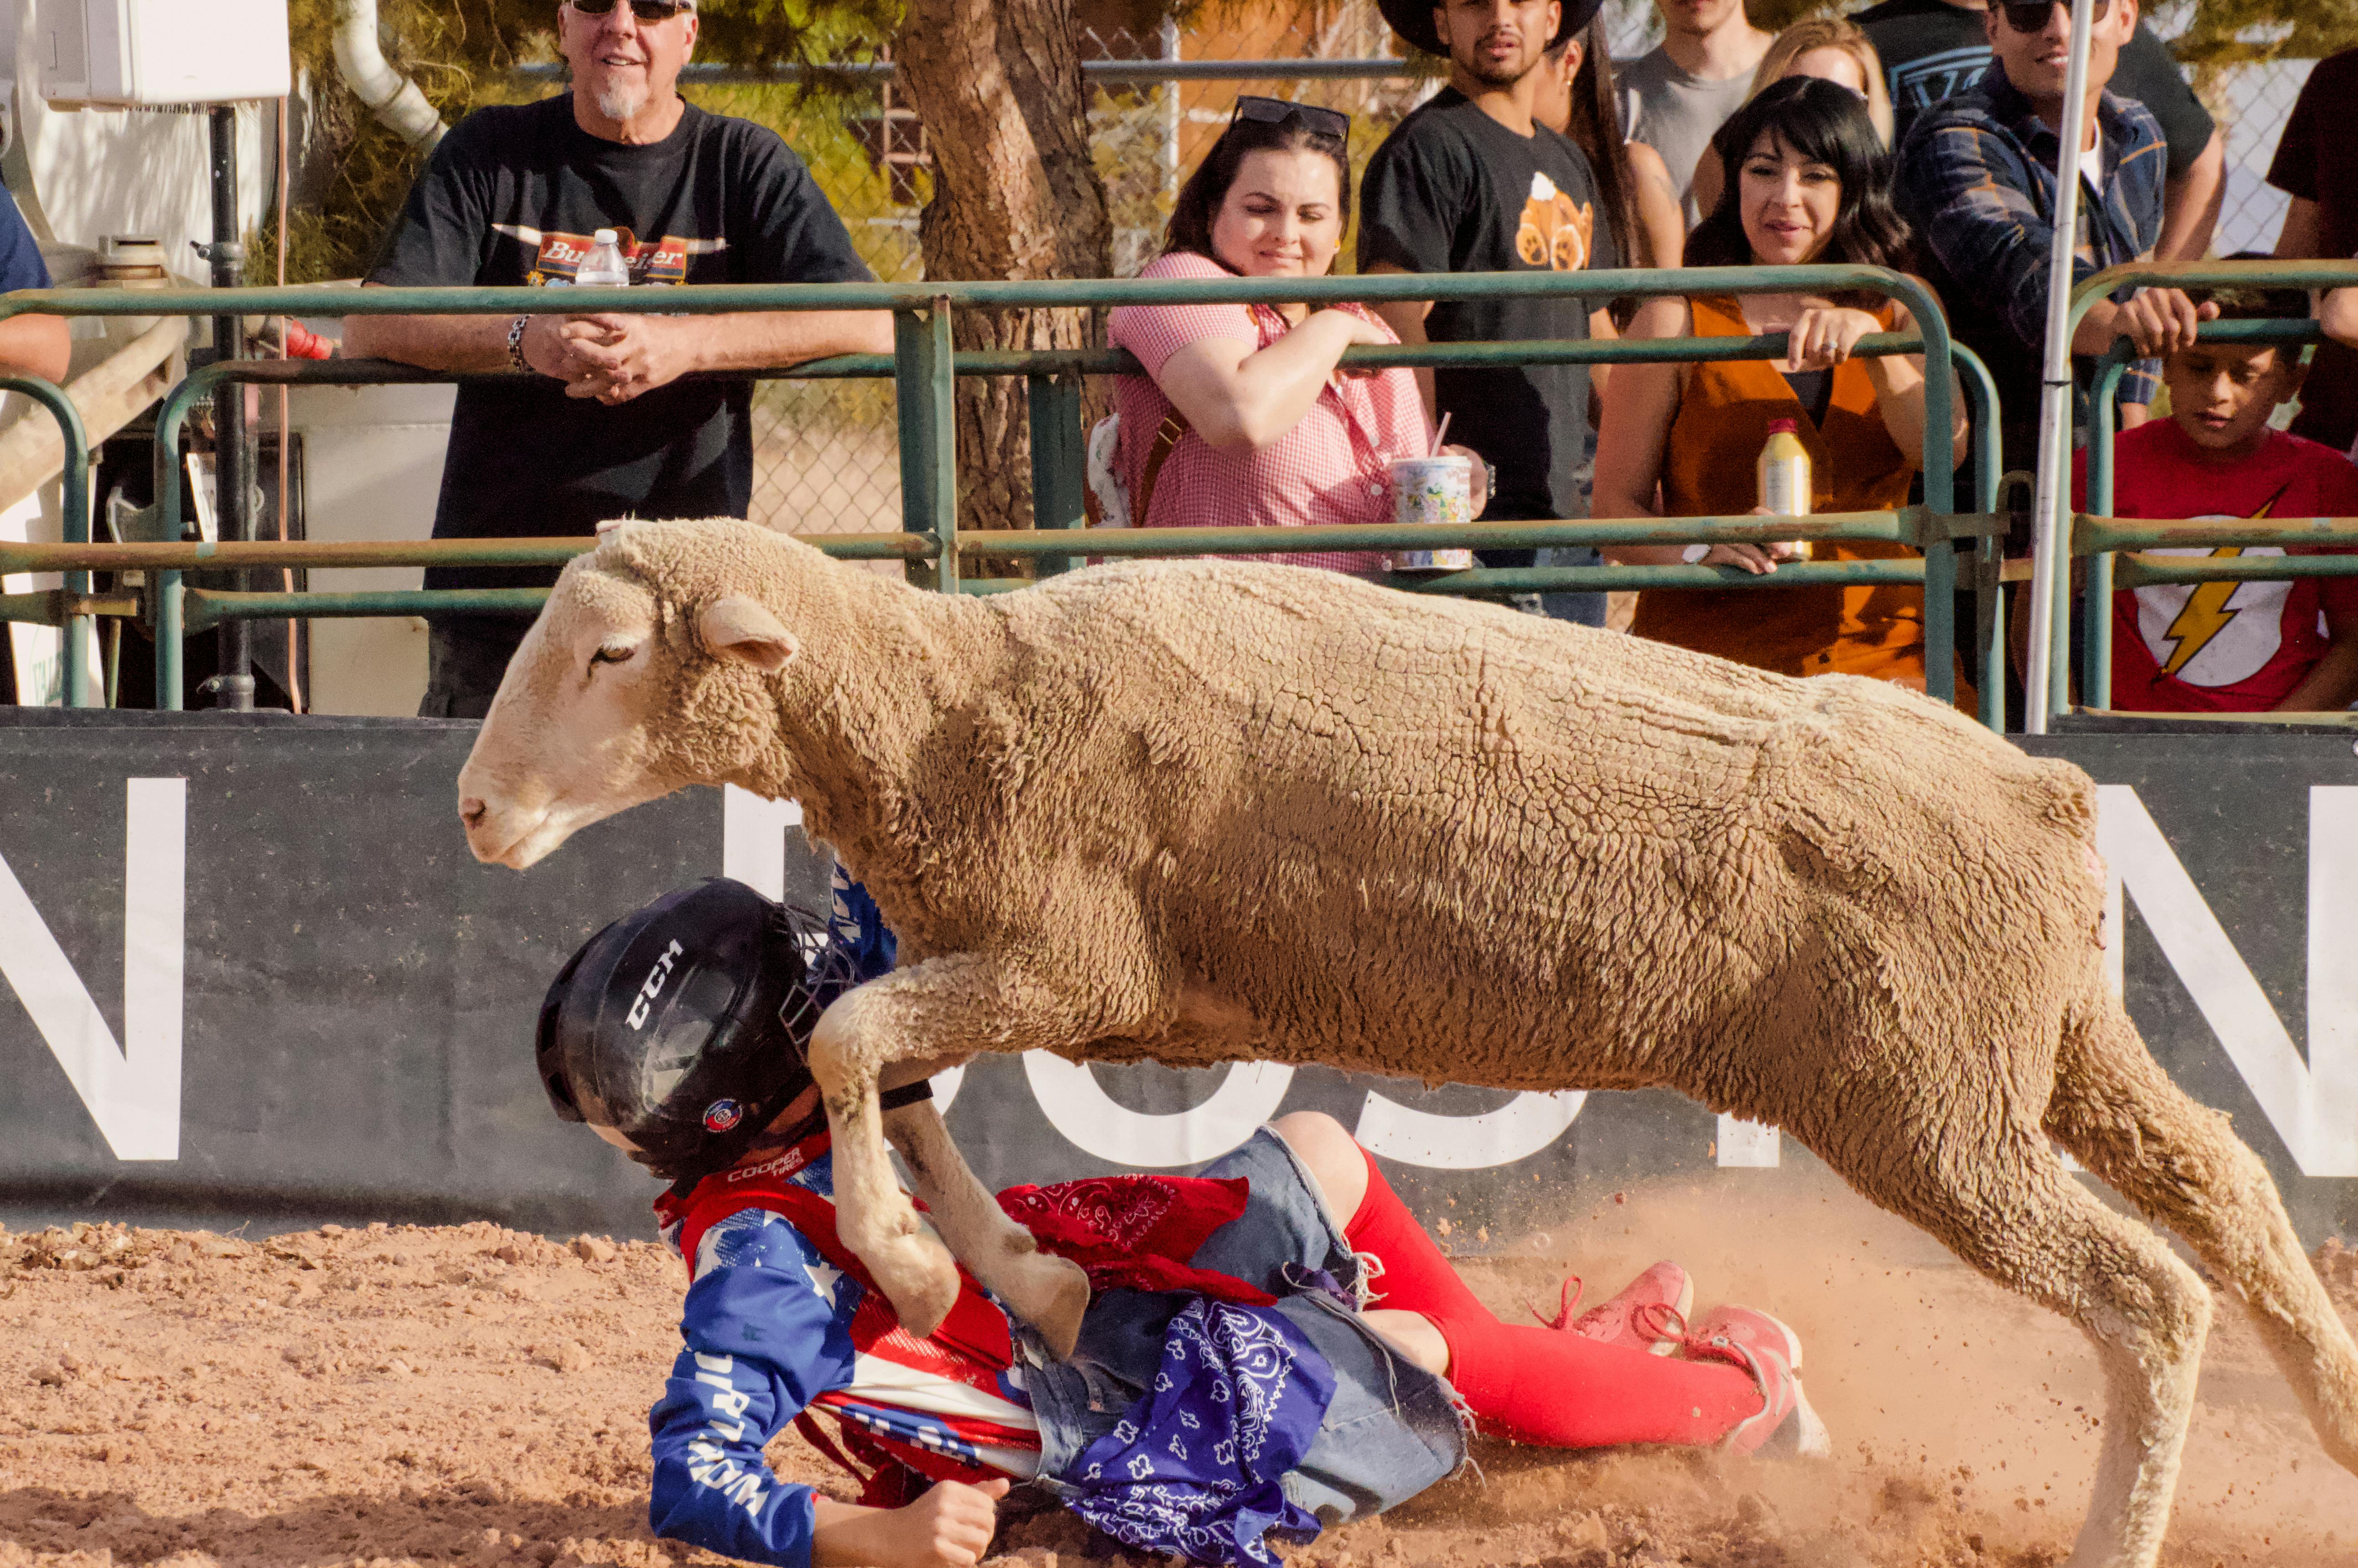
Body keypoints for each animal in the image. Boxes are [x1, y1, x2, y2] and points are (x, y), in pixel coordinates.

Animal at [457, 519, 2357, 1568]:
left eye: (608, 648)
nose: (474, 810)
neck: (946, 704)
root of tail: (2045, 790)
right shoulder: (1021, 963)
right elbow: (895, 1073)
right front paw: (1018, 1271)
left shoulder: (1070, 955)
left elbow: (853, 1039)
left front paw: (930, 1268)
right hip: (2041, 1048)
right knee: (2236, 1186)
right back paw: (2336, 1421)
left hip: (1931, 1101)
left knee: (2147, 1290)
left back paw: (2113, 1532)